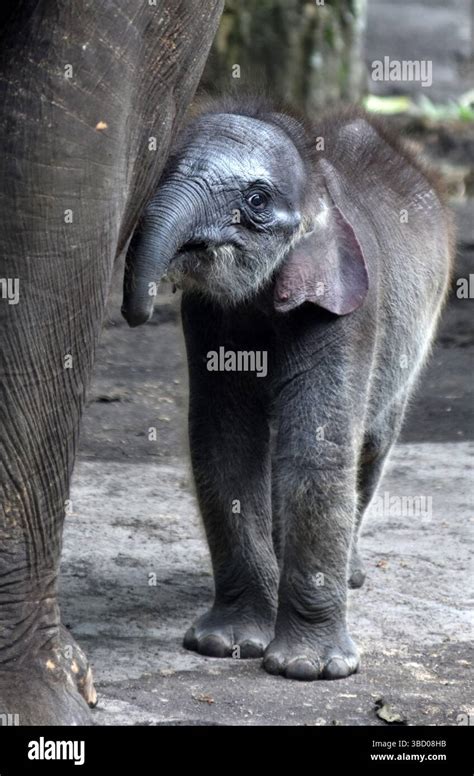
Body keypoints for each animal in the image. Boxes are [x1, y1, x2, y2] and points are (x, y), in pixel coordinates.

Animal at [122, 97, 453, 681]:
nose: (135, 311)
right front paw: (225, 643)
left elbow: (316, 446)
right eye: (161, 170)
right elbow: (225, 444)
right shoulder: (207, 317)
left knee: (373, 441)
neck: (316, 183)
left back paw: (350, 575)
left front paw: (309, 669)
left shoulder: (349, 310)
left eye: (256, 200)